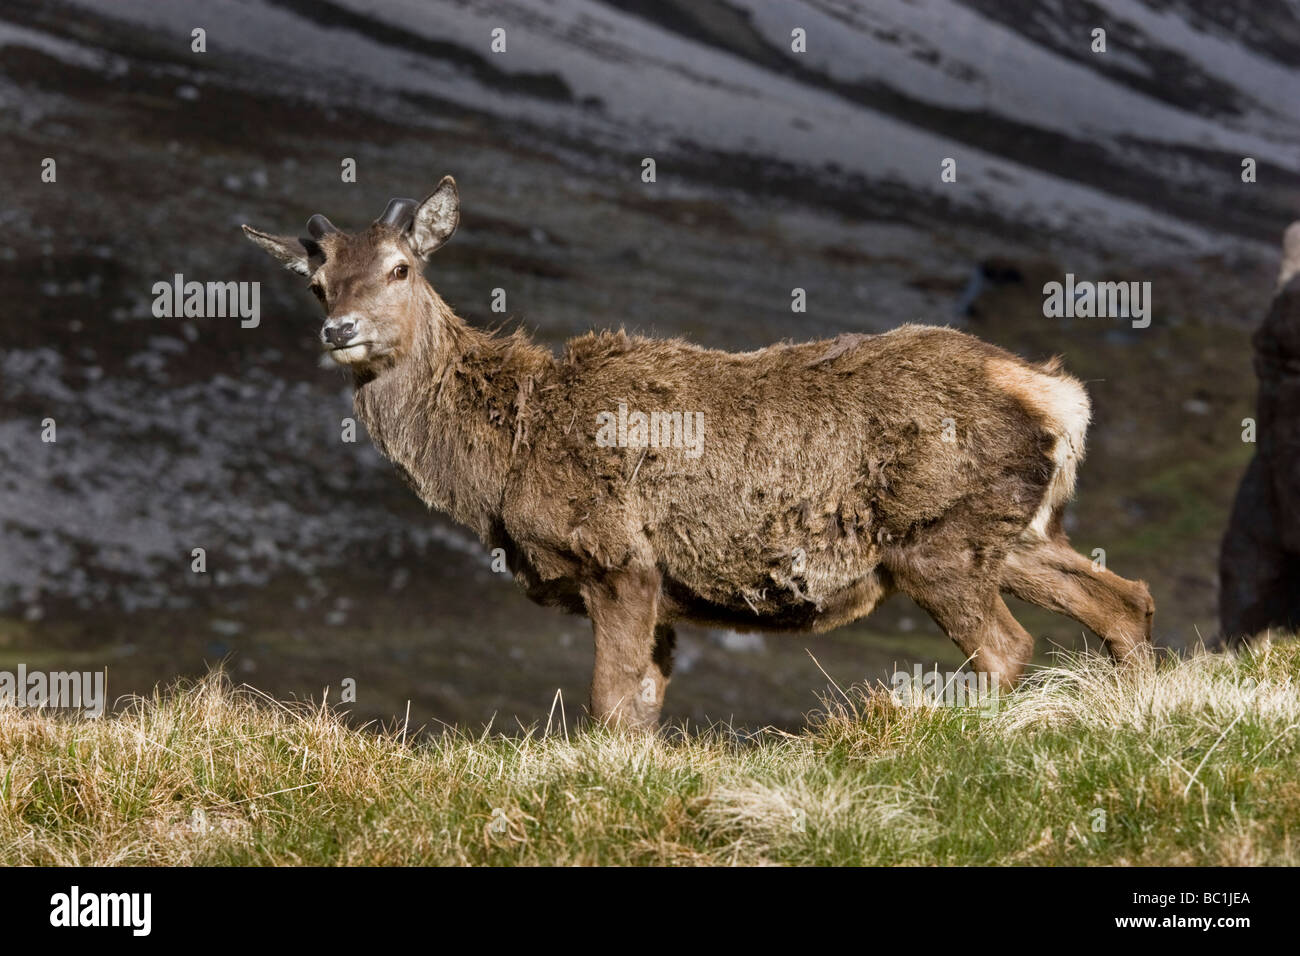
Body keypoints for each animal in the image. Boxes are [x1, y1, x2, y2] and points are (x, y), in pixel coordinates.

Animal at [243, 175, 1155, 729]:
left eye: (401, 268)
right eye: (316, 283)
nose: (340, 330)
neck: (501, 464)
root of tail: (1057, 395)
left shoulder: (617, 558)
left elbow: (610, 704)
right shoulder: (663, 599)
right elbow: (643, 707)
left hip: (938, 540)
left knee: (1010, 646)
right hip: (1021, 530)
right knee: (1123, 598)